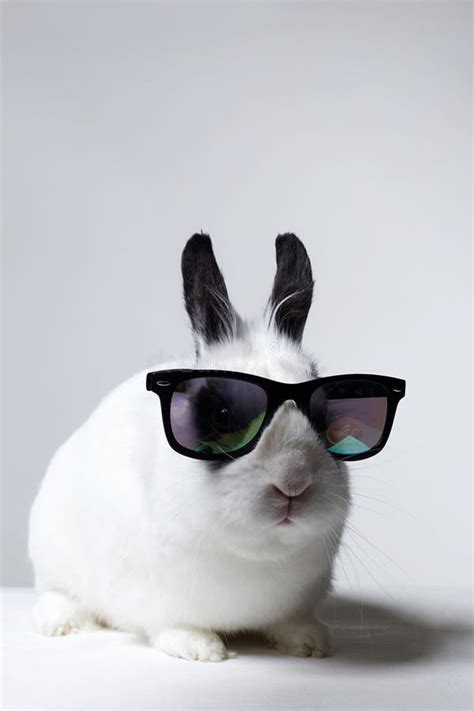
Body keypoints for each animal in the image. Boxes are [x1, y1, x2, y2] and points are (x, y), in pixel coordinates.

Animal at [28, 233, 351, 662]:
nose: (293, 480)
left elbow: (290, 622)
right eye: (221, 414)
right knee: (55, 593)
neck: (258, 554)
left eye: (326, 413)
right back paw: (63, 623)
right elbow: (174, 627)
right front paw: (204, 650)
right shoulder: (155, 597)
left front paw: (309, 643)